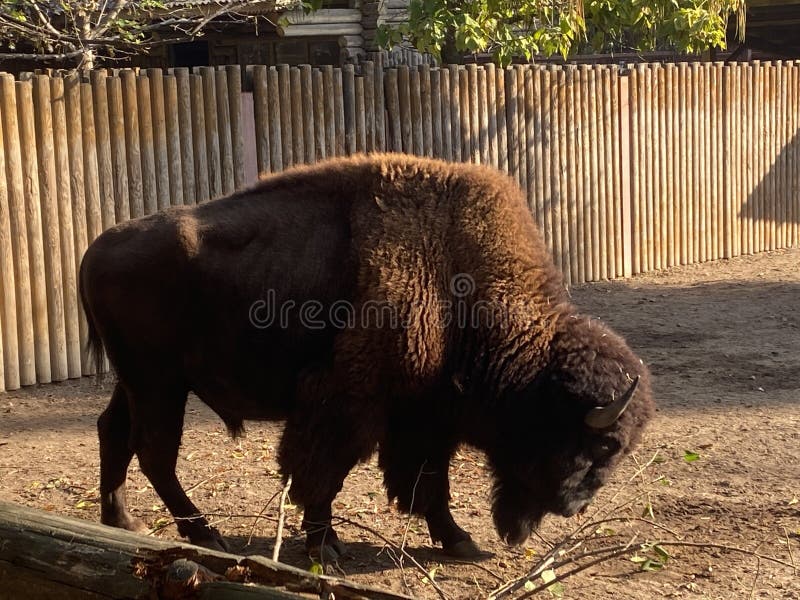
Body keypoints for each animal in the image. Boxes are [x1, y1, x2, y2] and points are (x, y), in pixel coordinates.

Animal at [80, 153, 654, 560]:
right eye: (601, 444)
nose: (572, 506)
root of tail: (94, 250)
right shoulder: (348, 404)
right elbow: (324, 474)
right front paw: (326, 546)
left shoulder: (424, 416)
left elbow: (426, 481)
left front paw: (459, 540)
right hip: (159, 383)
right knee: (154, 451)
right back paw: (206, 534)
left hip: (138, 382)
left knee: (114, 432)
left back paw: (122, 522)